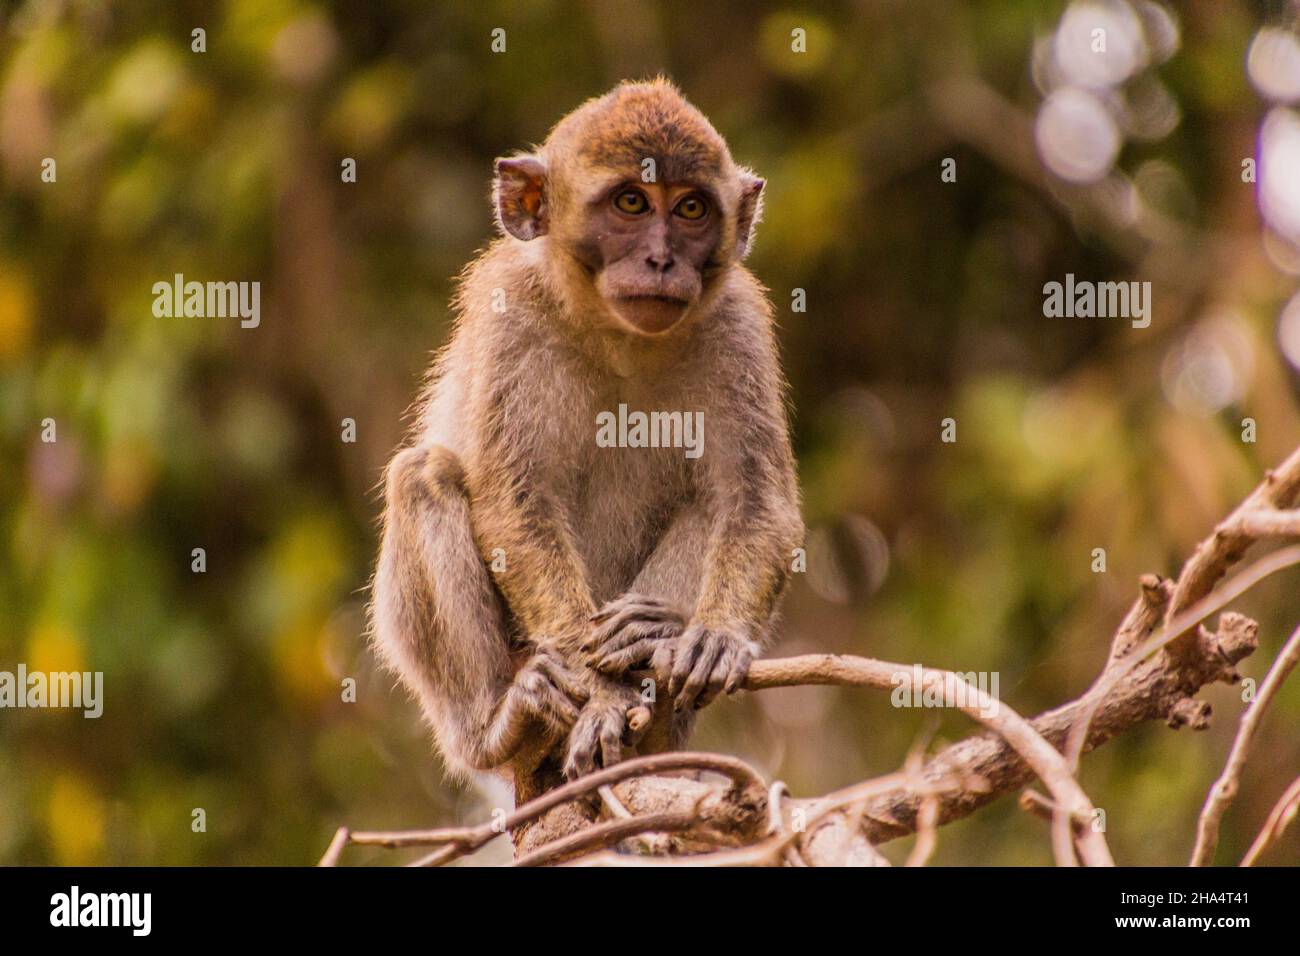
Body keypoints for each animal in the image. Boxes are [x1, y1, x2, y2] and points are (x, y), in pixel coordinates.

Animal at [370, 78, 803, 789]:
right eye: (631, 202)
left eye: (691, 209)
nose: (661, 259)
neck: (618, 337)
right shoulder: (510, 311)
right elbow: (517, 507)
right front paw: (598, 695)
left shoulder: (737, 326)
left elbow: (757, 504)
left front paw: (715, 637)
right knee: (424, 476)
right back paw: (499, 725)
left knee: (710, 500)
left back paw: (653, 642)